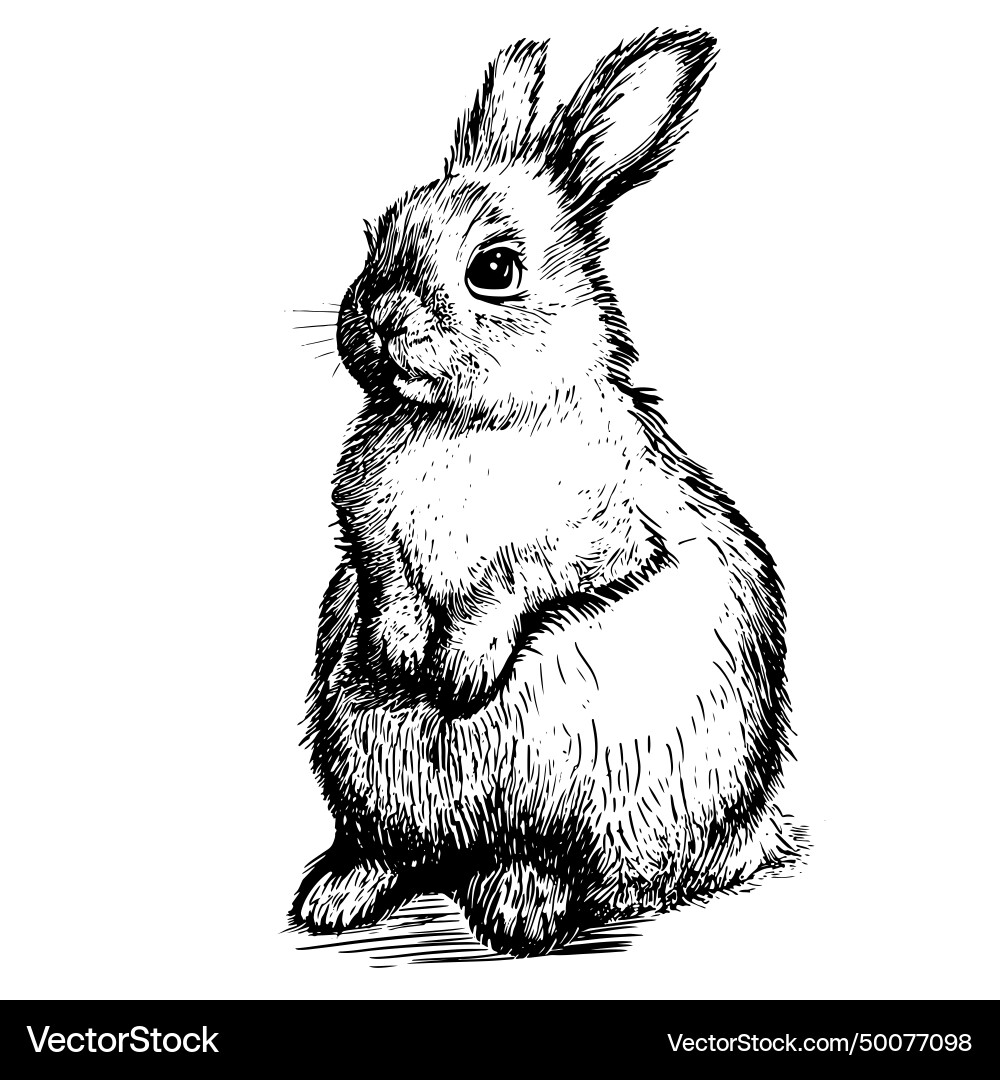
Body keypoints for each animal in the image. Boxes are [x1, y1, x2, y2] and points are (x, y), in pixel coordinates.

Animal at [291, 29, 793, 957]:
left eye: (494, 269)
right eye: (377, 236)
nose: (378, 318)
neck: (463, 421)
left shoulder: (601, 536)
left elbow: (514, 585)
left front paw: (457, 673)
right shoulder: (369, 544)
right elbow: (390, 584)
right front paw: (401, 653)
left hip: (605, 799)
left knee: (569, 870)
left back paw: (520, 907)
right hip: (364, 766)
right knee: (397, 851)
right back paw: (336, 895)